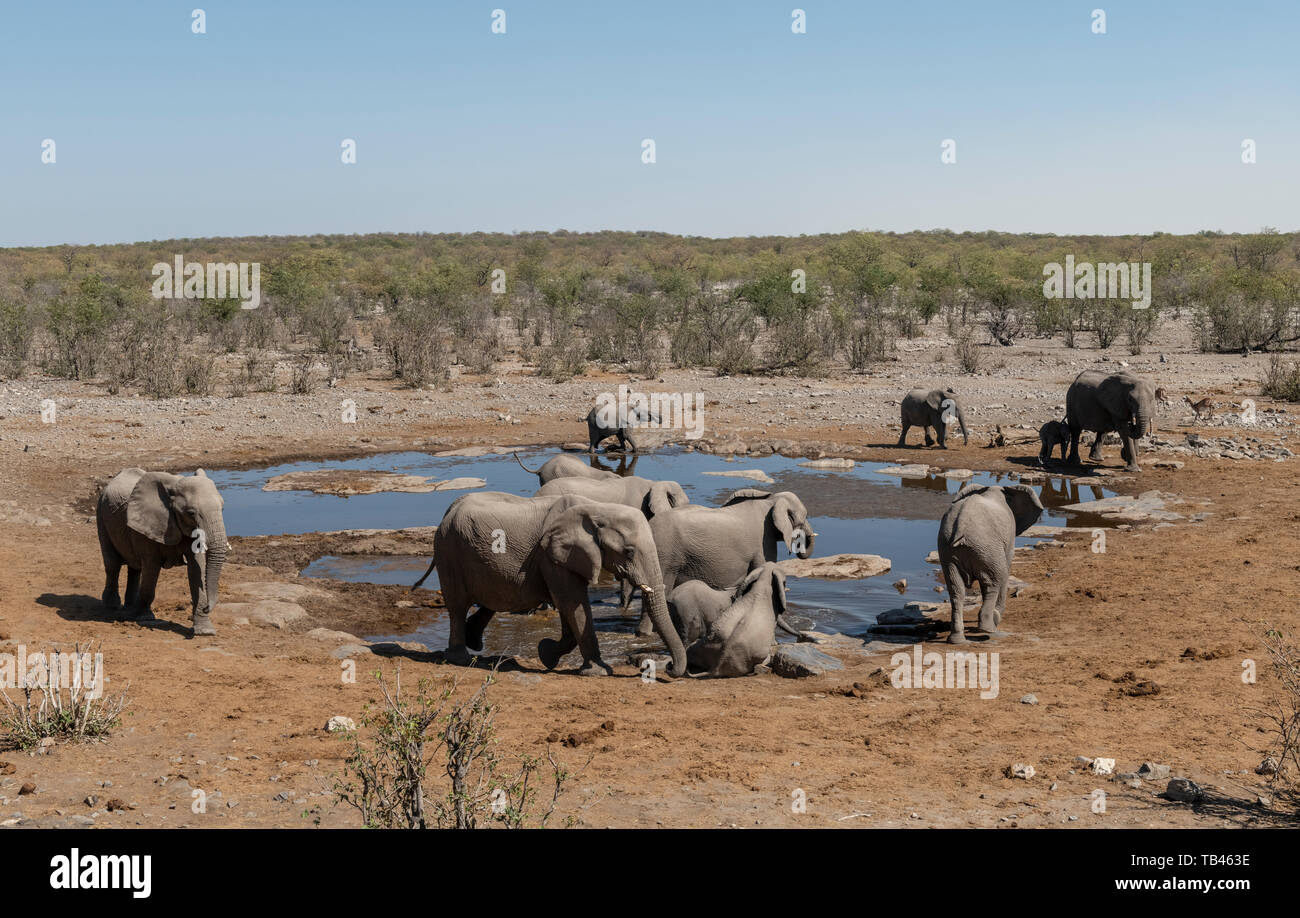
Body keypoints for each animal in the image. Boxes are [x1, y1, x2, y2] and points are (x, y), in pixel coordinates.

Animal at [96, 468, 229, 636]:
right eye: (191, 513)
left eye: (223, 508)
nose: (207, 608)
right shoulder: (147, 525)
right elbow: (151, 566)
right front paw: (146, 618)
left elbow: (196, 568)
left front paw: (205, 631)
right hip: (101, 514)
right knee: (113, 565)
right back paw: (113, 606)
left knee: (135, 568)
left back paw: (130, 609)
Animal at [410, 492, 687, 677]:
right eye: (628, 552)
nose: (669, 668)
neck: (598, 509)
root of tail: (449, 509)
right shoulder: (552, 556)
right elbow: (572, 603)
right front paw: (597, 671)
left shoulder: (562, 558)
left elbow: (568, 609)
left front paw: (546, 655)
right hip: (449, 551)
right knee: (458, 605)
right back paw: (460, 658)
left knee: (492, 599)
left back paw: (474, 641)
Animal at [638, 488, 815, 636]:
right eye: (805, 517)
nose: (803, 634)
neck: (771, 501)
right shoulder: (764, 542)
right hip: (667, 554)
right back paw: (648, 634)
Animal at [937, 483, 1043, 643]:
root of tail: (961, 526)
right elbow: (1006, 568)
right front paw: (997, 617)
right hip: (985, 548)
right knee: (994, 581)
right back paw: (990, 629)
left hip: (949, 550)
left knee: (956, 589)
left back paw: (957, 640)